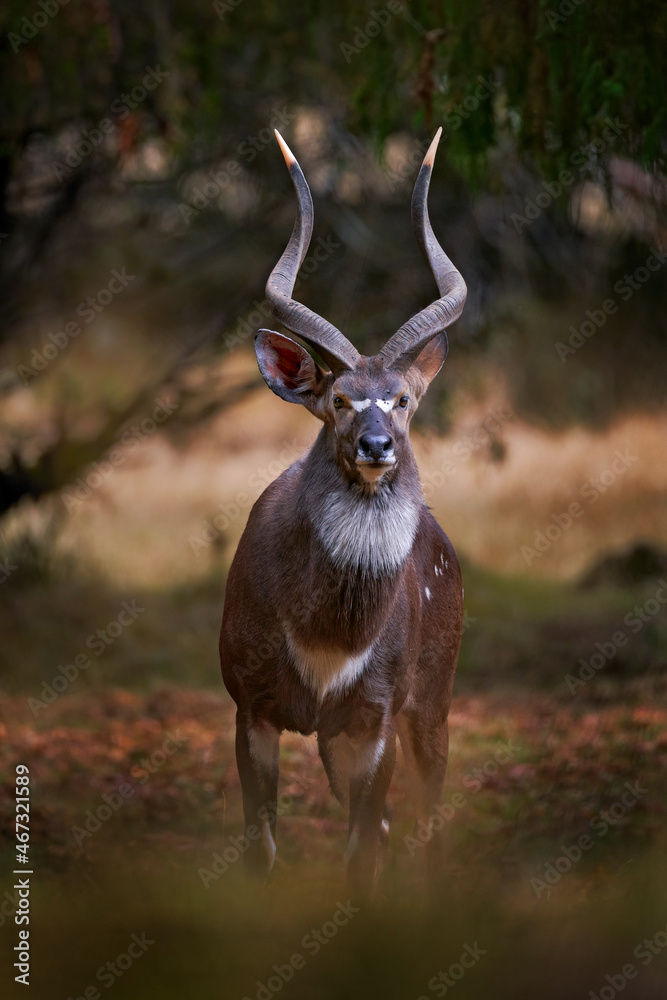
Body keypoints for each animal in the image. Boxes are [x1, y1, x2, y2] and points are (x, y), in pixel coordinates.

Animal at [220, 127, 466, 896]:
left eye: (404, 399)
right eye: (338, 399)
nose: (377, 446)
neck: (326, 634)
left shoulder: (375, 719)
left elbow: (361, 856)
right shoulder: (250, 709)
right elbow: (261, 850)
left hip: (432, 709)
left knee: (423, 822)